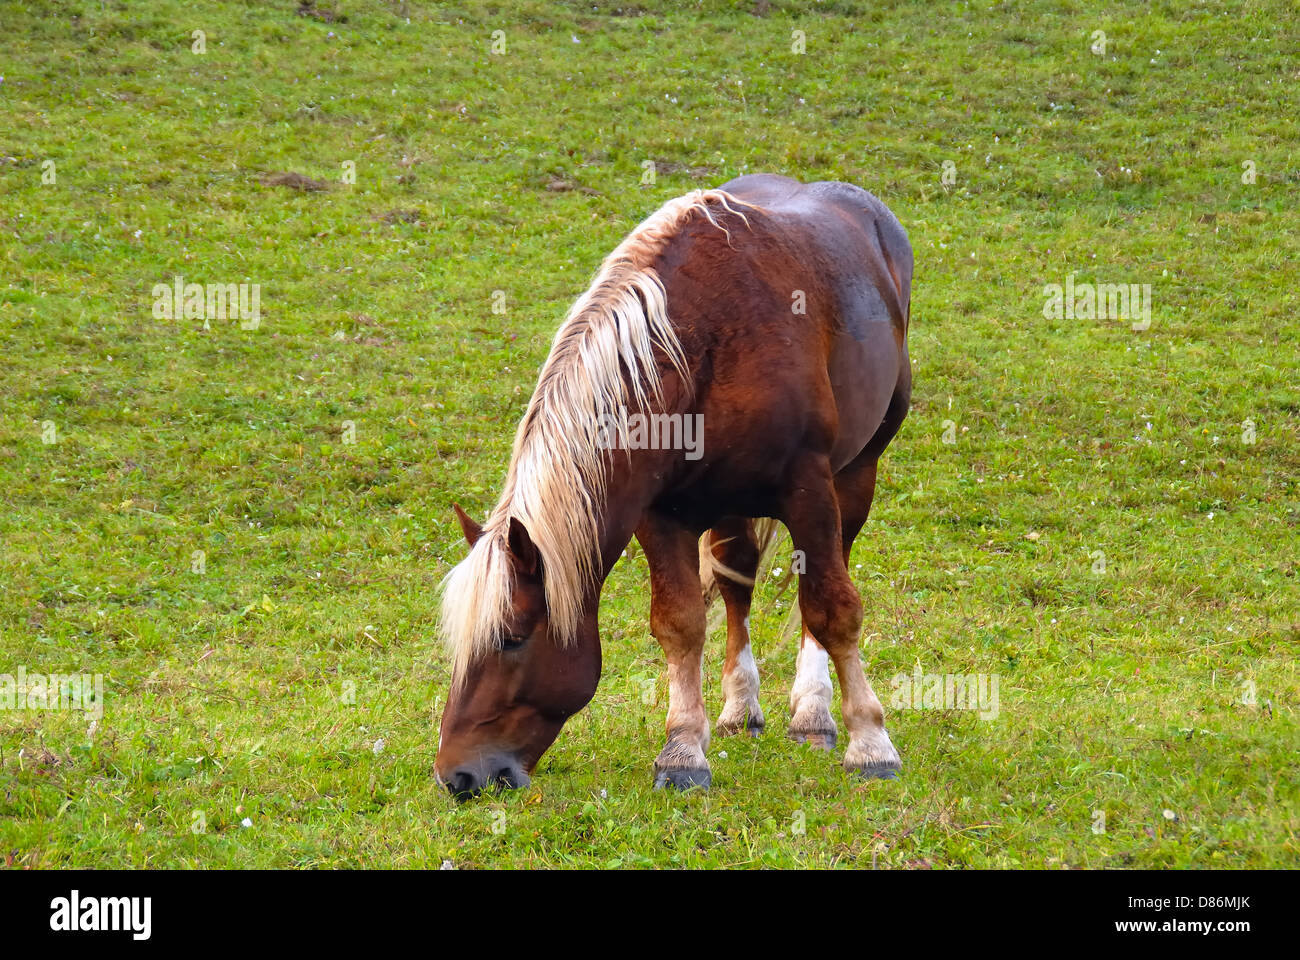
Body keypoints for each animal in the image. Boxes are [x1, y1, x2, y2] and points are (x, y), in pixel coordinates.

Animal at [435, 173, 912, 798]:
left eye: (512, 638)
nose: (456, 774)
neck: (700, 346)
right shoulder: (661, 515)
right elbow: (680, 623)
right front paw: (684, 749)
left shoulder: (809, 488)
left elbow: (833, 608)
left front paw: (871, 742)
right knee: (736, 585)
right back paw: (741, 707)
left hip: (855, 473)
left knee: (824, 585)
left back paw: (814, 711)